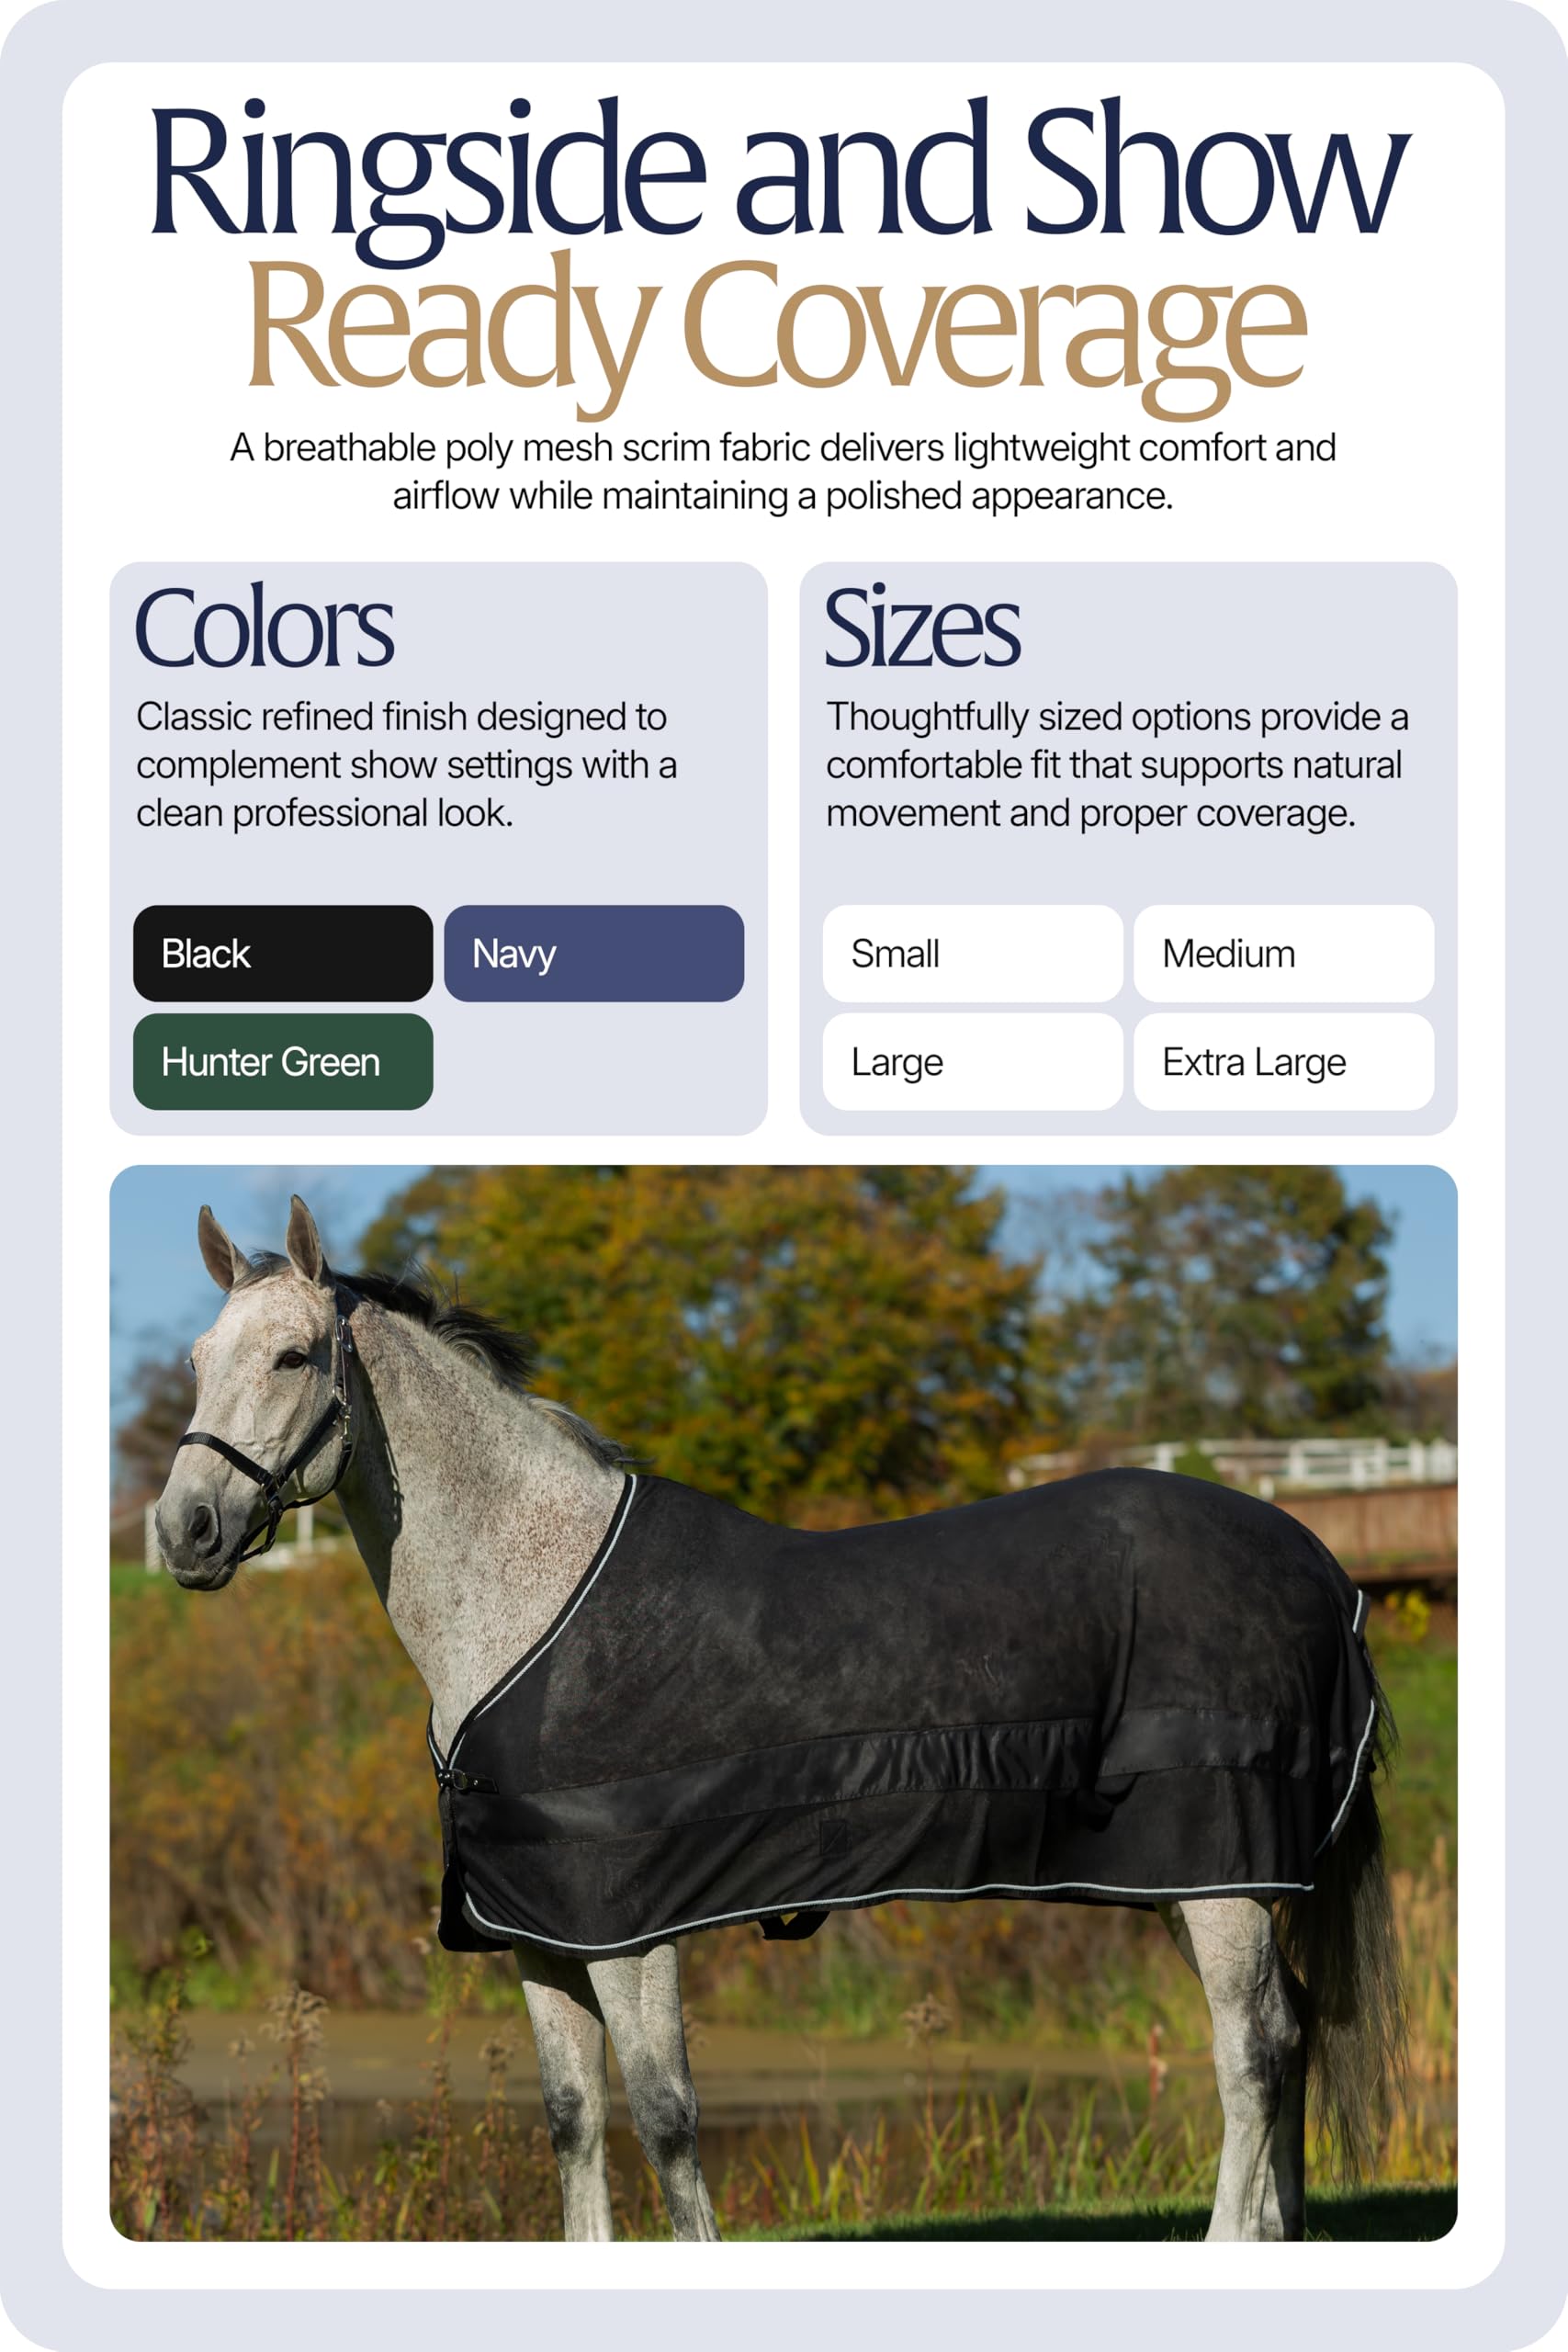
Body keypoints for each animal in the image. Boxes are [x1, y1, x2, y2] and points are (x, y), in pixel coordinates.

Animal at [151, 1196, 1405, 2244]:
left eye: (294, 1354)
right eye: (203, 1360)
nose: (185, 1530)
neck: (535, 1597)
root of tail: (1313, 1559)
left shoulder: (630, 1931)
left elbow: (666, 2121)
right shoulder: (541, 1934)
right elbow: (572, 2121)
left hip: (1222, 1873)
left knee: (1253, 2052)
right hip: (1196, 1876)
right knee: (1288, 2032)